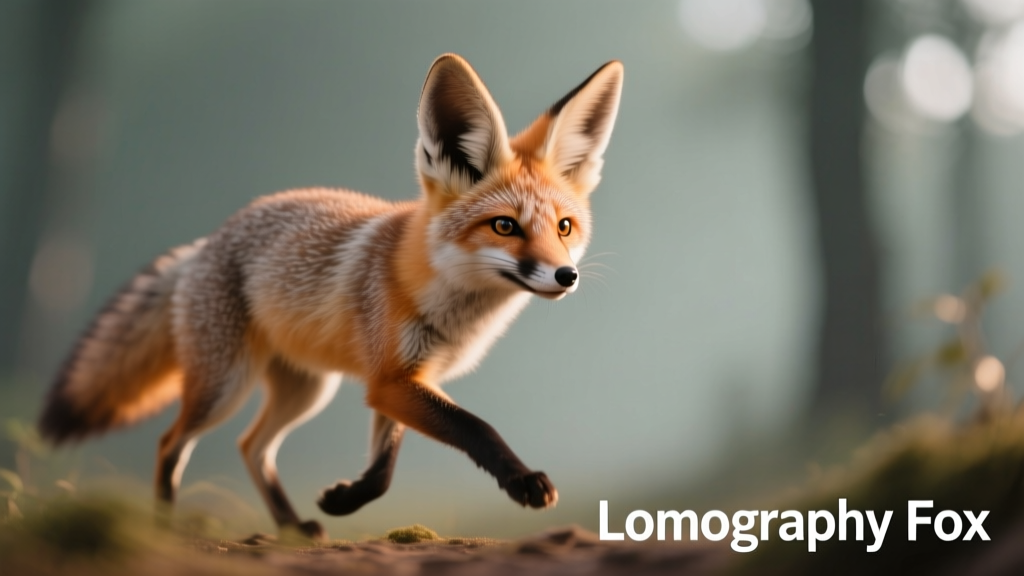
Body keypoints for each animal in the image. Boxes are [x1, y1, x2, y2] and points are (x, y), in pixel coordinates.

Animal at [38, 54, 623, 540]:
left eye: (564, 227)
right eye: (505, 226)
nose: (566, 275)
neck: (450, 305)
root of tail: (208, 241)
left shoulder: (404, 379)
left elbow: (384, 468)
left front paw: (344, 500)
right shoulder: (393, 379)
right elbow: (475, 427)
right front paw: (523, 480)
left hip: (306, 390)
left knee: (251, 447)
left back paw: (293, 526)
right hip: (225, 385)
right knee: (171, 443)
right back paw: (163, 527)